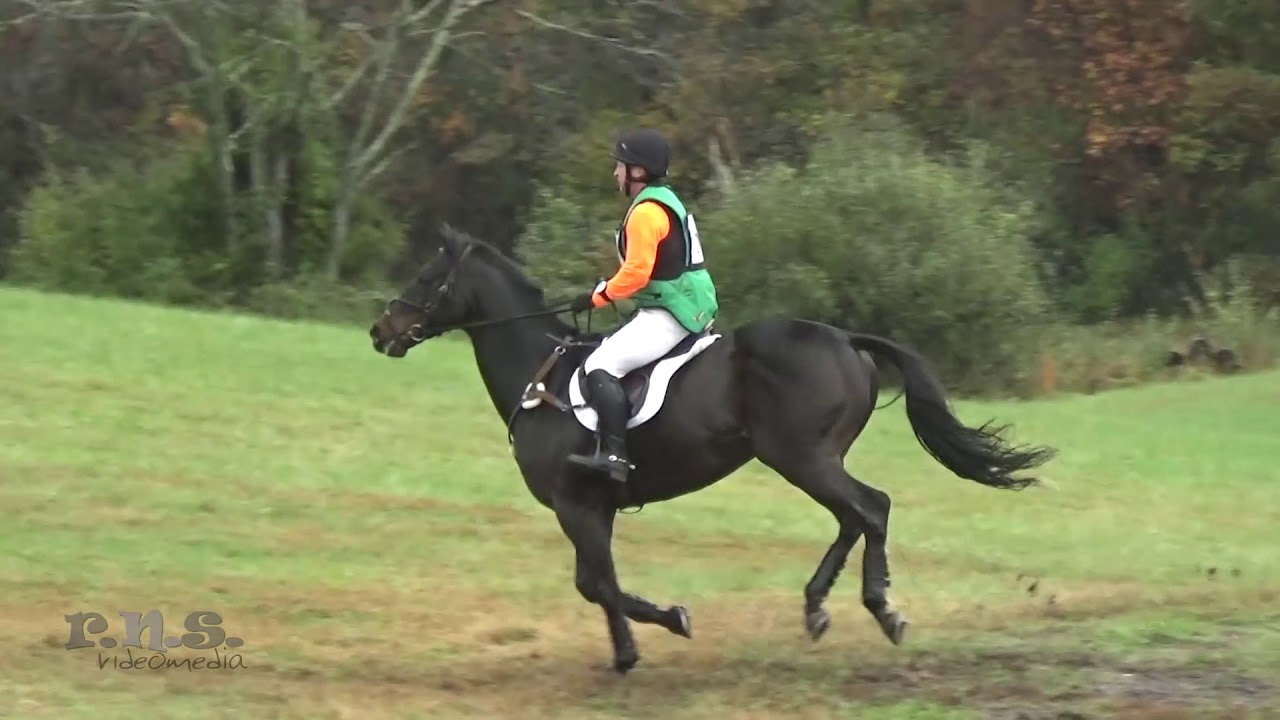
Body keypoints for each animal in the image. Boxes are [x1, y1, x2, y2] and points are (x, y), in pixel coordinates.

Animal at [368, 224, 1057, 674]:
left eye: (426, 277)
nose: (380, 331)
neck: (542, 375)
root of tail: (845, 339)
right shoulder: (596, 508)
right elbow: (598, 582)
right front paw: (628, 651)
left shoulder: (574, 504)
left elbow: (597, 584)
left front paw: (666, 625)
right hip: (813, 460)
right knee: (855, 516)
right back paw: (817, 608)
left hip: (801, 458)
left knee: (871, 509)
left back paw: (880, 608)